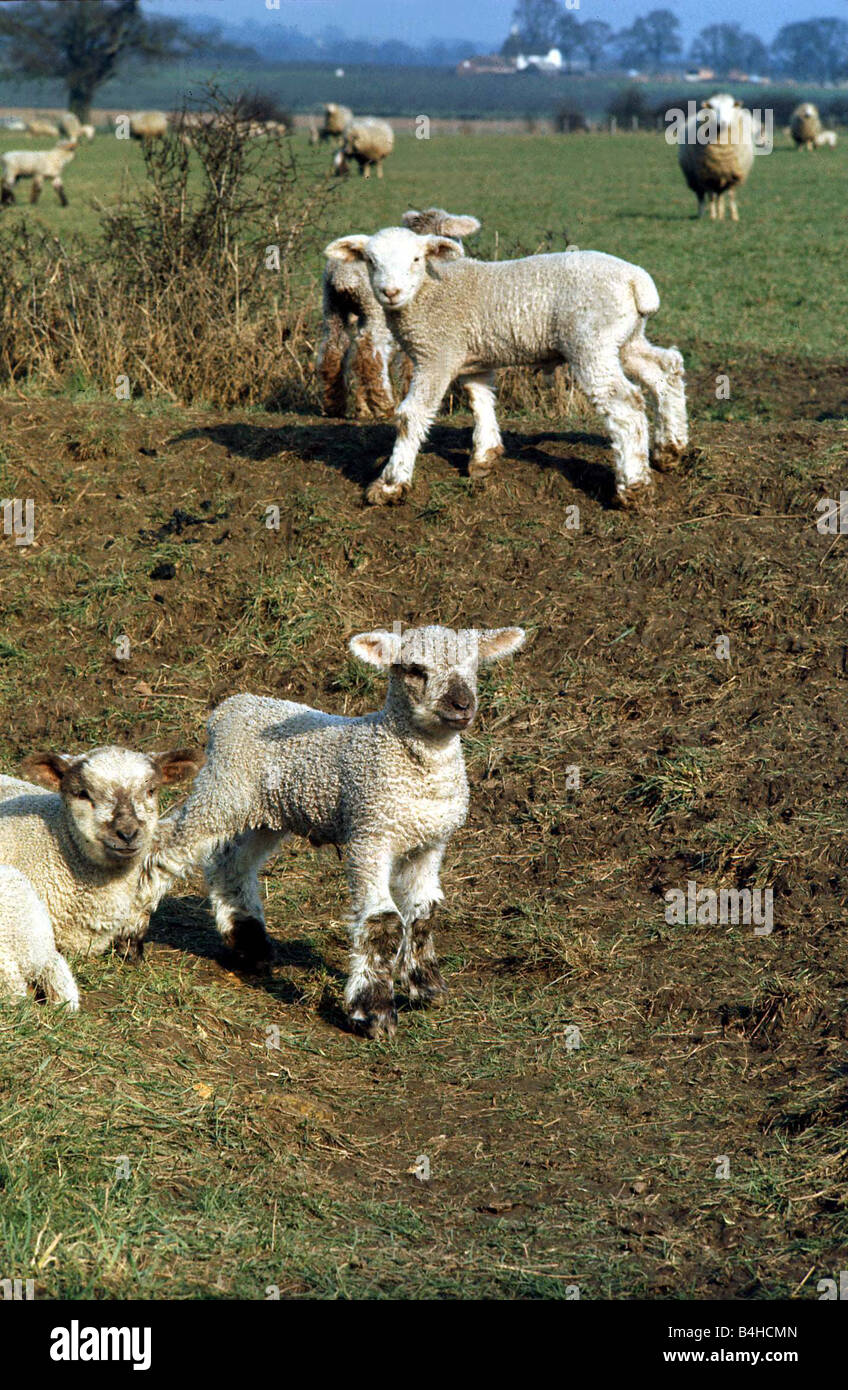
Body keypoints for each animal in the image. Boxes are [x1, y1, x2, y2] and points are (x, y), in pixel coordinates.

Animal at [150, 624, 525, 1038]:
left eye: (475, 664)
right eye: (415, 669)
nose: (462, 705)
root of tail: (229, 708)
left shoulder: (429, 842)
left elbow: (424, 913)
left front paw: (426, 986)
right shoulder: (370, 833)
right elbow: (382, 921)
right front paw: (373, 1011)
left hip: (264, 811)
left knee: (230, 862)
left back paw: (248, 942)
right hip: (222, 789)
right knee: (167, 844)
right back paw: (131, 929)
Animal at [319, 207, 482, 420]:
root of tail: (343, 276)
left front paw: (364, 408)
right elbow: (409, 367)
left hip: (332, 306)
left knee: (333, 348)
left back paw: (335, 405)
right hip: (374, 310)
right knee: (369, 352)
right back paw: (384, 405)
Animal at [324, 227, 687, 509]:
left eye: (415, 260)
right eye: (371, 262)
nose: (390, 292)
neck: (428, 291)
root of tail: (635, 280)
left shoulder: (437, 354)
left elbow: (410, 416)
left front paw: (389, 484)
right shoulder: (470, 357)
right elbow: (479, 399)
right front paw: (484, 456)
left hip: (591, 341)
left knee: (626, 405)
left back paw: (633, 486)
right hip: (625, 338)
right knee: (666, 370)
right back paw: (670, 449)